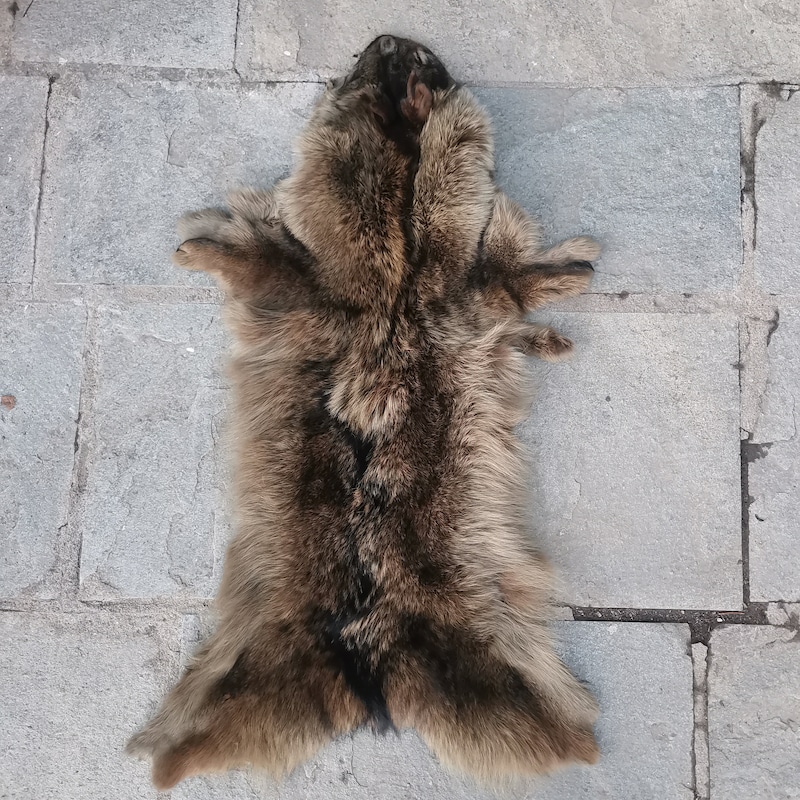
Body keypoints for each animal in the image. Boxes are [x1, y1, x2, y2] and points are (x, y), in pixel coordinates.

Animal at [127, 34, 601, 790]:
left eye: (417, 65)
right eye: (365, 65)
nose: (393, 41)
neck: (392, 286)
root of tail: (371, 665)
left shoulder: (459, 293)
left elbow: (504, 276)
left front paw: (565, 277)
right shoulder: (307, 279)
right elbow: (256, 254)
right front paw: (196, 245)